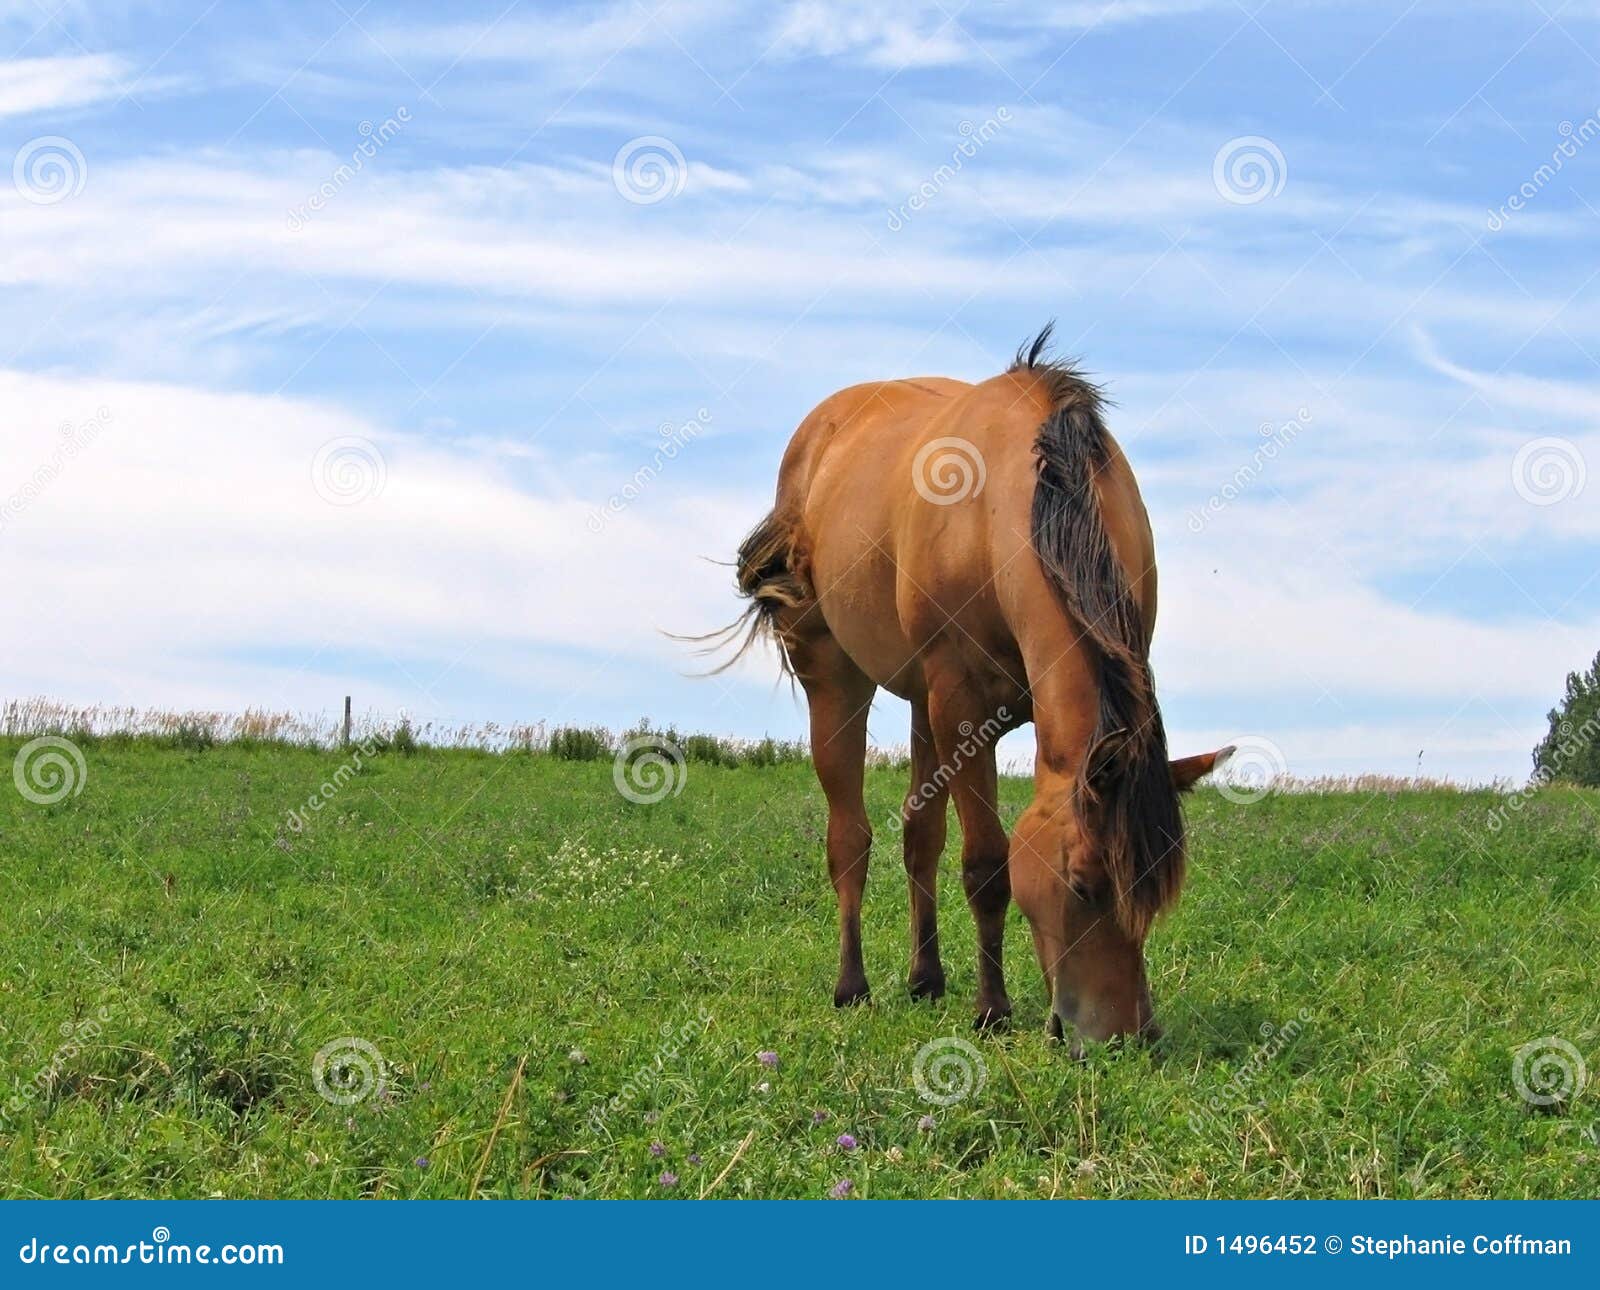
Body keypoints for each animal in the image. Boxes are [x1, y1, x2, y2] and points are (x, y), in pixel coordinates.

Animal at [710, 326, 1231, 1045]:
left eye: (1158, 889)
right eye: (1082, 883)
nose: (1127, 1038)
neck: (1003, 513)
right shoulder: (962, 706)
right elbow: (987, 864)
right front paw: (992, 1009)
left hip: (919, 700)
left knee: (918, 835)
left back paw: (925, 978)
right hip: (837, 678)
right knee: (850, 836)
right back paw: (852, 986)